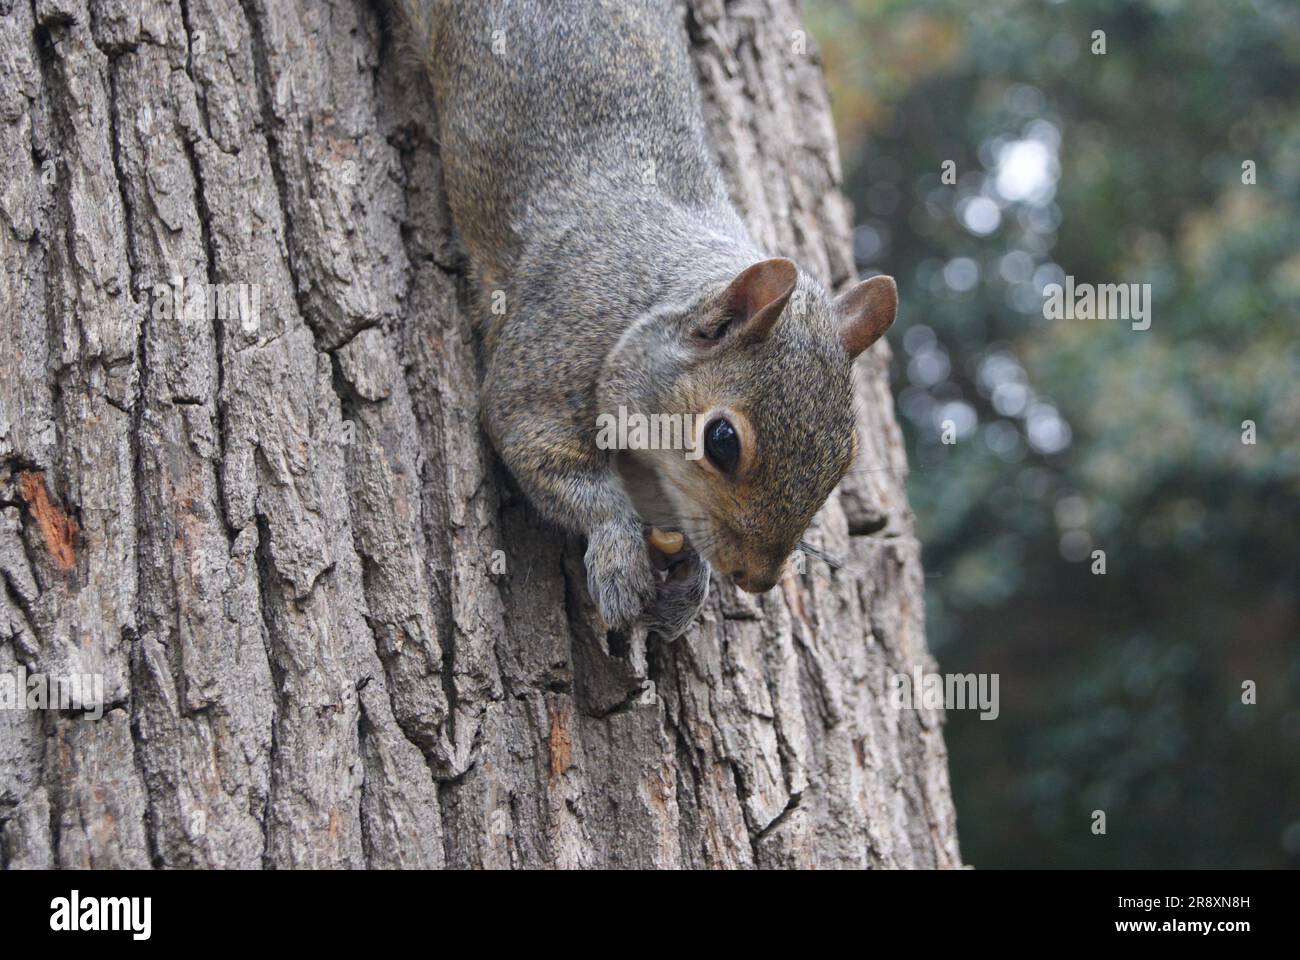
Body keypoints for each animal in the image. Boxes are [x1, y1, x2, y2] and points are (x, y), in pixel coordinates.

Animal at [396, 0, 897, 639]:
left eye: (845, 458)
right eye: (722, 442)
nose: (758, 580)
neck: (649, 295)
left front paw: (691, 580)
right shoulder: (553, 343)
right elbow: (539, 446)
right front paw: (617, 550)